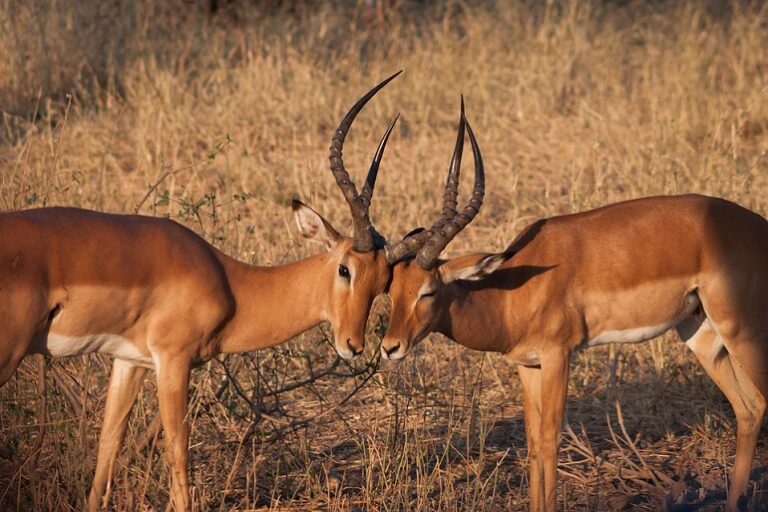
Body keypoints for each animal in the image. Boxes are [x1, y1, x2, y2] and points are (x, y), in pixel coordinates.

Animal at [0, 71, 441, 511]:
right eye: (345, 269)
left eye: (382, 283)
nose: (353, 345)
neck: (229, 282)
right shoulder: (173, 361)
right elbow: (178, 451)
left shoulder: (129, 361)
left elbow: (107, 451)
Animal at [380, 117, 767, 510]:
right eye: (392, 290)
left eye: (428, 291)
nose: (390, 347)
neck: (510, 293)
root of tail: (759, 226)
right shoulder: (528, 365)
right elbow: (533, 442)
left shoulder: (558, 355)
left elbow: (550, 439)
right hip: (702, 335)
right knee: (749, 408)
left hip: (744, 331)